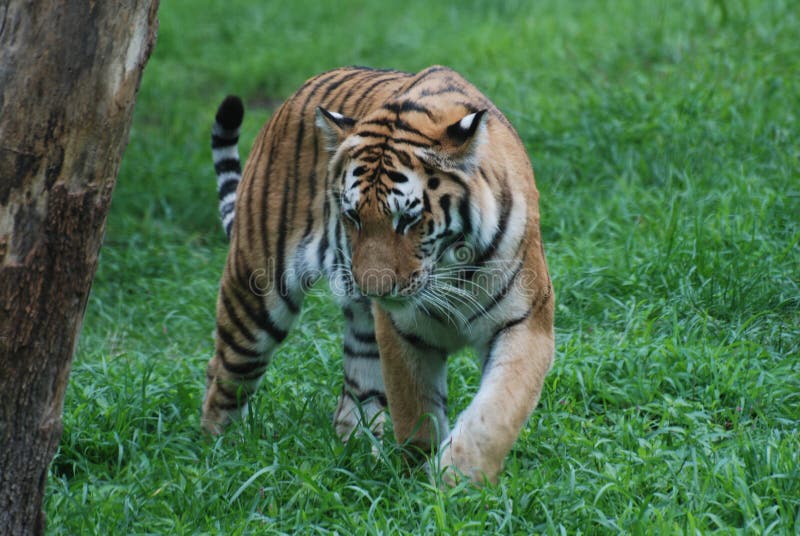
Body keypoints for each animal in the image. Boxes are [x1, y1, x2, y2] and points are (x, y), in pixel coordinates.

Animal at [203, 65, 555, 484]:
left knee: (349, 401)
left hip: (362, 332)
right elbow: (415, 413)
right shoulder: (402, 330)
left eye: (408, 219)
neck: (451, 271)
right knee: (221, 377)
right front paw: (419, 477)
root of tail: (294, 96)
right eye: (353, 216)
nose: (373, 288)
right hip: (255, 297)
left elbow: (494, 415)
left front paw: (456, 482)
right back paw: (219, 459)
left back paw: (359, 458)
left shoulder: (526, 322)